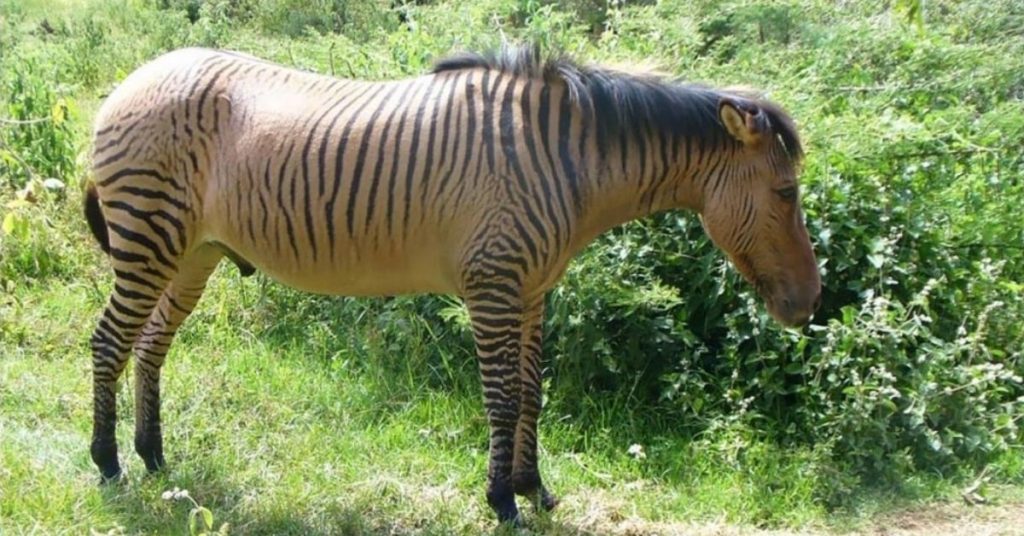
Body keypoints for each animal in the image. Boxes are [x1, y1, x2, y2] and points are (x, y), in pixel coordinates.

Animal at [83, 44, 821, 526]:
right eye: (786, 194)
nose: (811, 305)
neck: (566, 162)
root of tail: (130, 81)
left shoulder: (534, 289)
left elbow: (532, 393)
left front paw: (534, 490)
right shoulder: (493, 283)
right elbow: (501, 398)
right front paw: (502, 504)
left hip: (193, 251)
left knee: (150, 344)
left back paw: (153, 457)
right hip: (149, 235)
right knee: (109, 341)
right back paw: (109, 464)